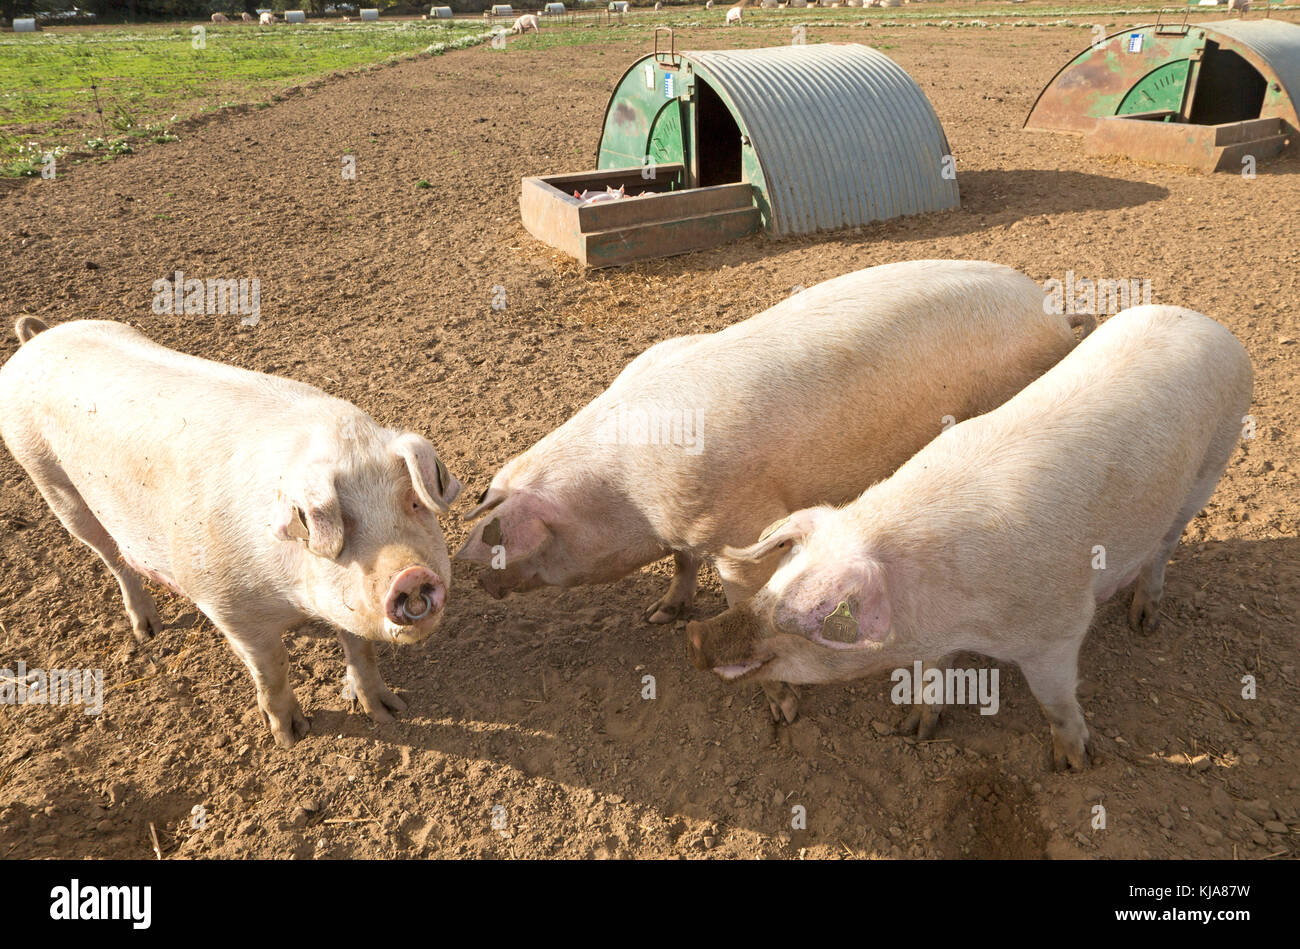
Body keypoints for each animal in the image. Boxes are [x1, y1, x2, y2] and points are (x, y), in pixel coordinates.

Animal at [0, 318, 461, 747]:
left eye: (413, 503)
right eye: (342, 522)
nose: (411, 574)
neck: (290, 599)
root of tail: (38, 338)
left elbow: (360, 649)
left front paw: (390, 712)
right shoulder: (227, 608)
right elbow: (272, 670)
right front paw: (291, 737)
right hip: (52, 483)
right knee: (112, 557)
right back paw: (148, 630)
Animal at [457, 260, 1092, 724]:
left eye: (500, 535)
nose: (472, 572)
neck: (626, 499)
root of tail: (1055, 316)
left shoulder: (741, 522)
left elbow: (743, 593)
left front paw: (783, 712)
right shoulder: (686, 527)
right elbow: (682, 564)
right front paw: (658, 614)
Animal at [686, 305, 1252, 771]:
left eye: (821, 616)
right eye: (776, 579)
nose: (696, 636)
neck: (949, 616)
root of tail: (1210, 324)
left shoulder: (1059, 628)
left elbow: (1055, 700)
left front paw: (1073, 765)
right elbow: (930, 674)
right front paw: (912, 731)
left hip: (1212, 463)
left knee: (1164, 545)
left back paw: (1144, 621)